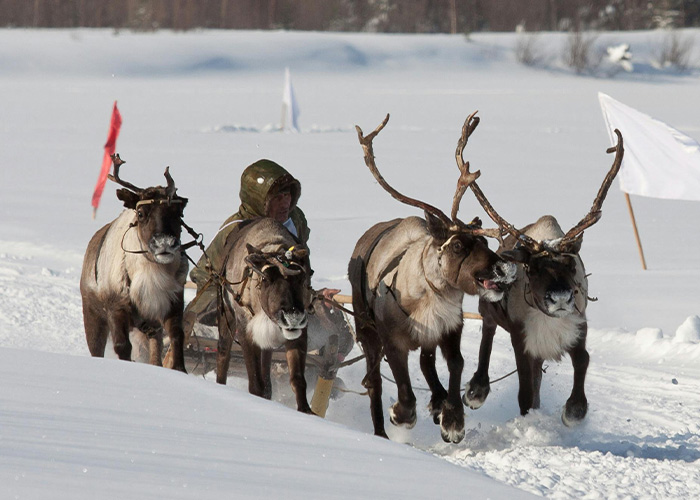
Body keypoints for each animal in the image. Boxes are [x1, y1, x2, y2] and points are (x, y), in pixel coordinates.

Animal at [80, 154, 189, 372]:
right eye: (141, 213)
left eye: (178, 213)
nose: (165, 243)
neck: (152, 270)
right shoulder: (117, 307)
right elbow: (122, 346)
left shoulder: (172, 302)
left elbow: (177, 337)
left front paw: (180, 370)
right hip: (93, 316)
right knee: (97, 348)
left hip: (151, 327)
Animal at [215, 217, 314, 413]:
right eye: (266, 278)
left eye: (302, 278)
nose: (293, 318)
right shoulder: (245, 330)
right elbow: (255, 382)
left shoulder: (300, 331)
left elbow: (298, 379)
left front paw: (306, 410)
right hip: (227, 316)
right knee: (223, 354)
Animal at [349, 114, 517, 443]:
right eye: (458, 245)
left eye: (485, 242)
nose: (504, 268)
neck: (430, 295)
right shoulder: (392, 340)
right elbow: (404, 390)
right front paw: (400, 415)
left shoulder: (448, 328)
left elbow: (456, 364)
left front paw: (452, 419)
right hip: (365, 328)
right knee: (375, 381)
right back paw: (381, 431)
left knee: (426, 363)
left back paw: (438, 402)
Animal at [456, 111, 624, 426]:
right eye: (532, 269)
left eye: (571, 264)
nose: (559, 298)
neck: (550, 319)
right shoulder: (522, 337)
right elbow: (524, 390)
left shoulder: (577, 325)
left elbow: (582, 360)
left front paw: (575, 410)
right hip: (489, 306)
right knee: (487, 332)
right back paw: (476, 391)